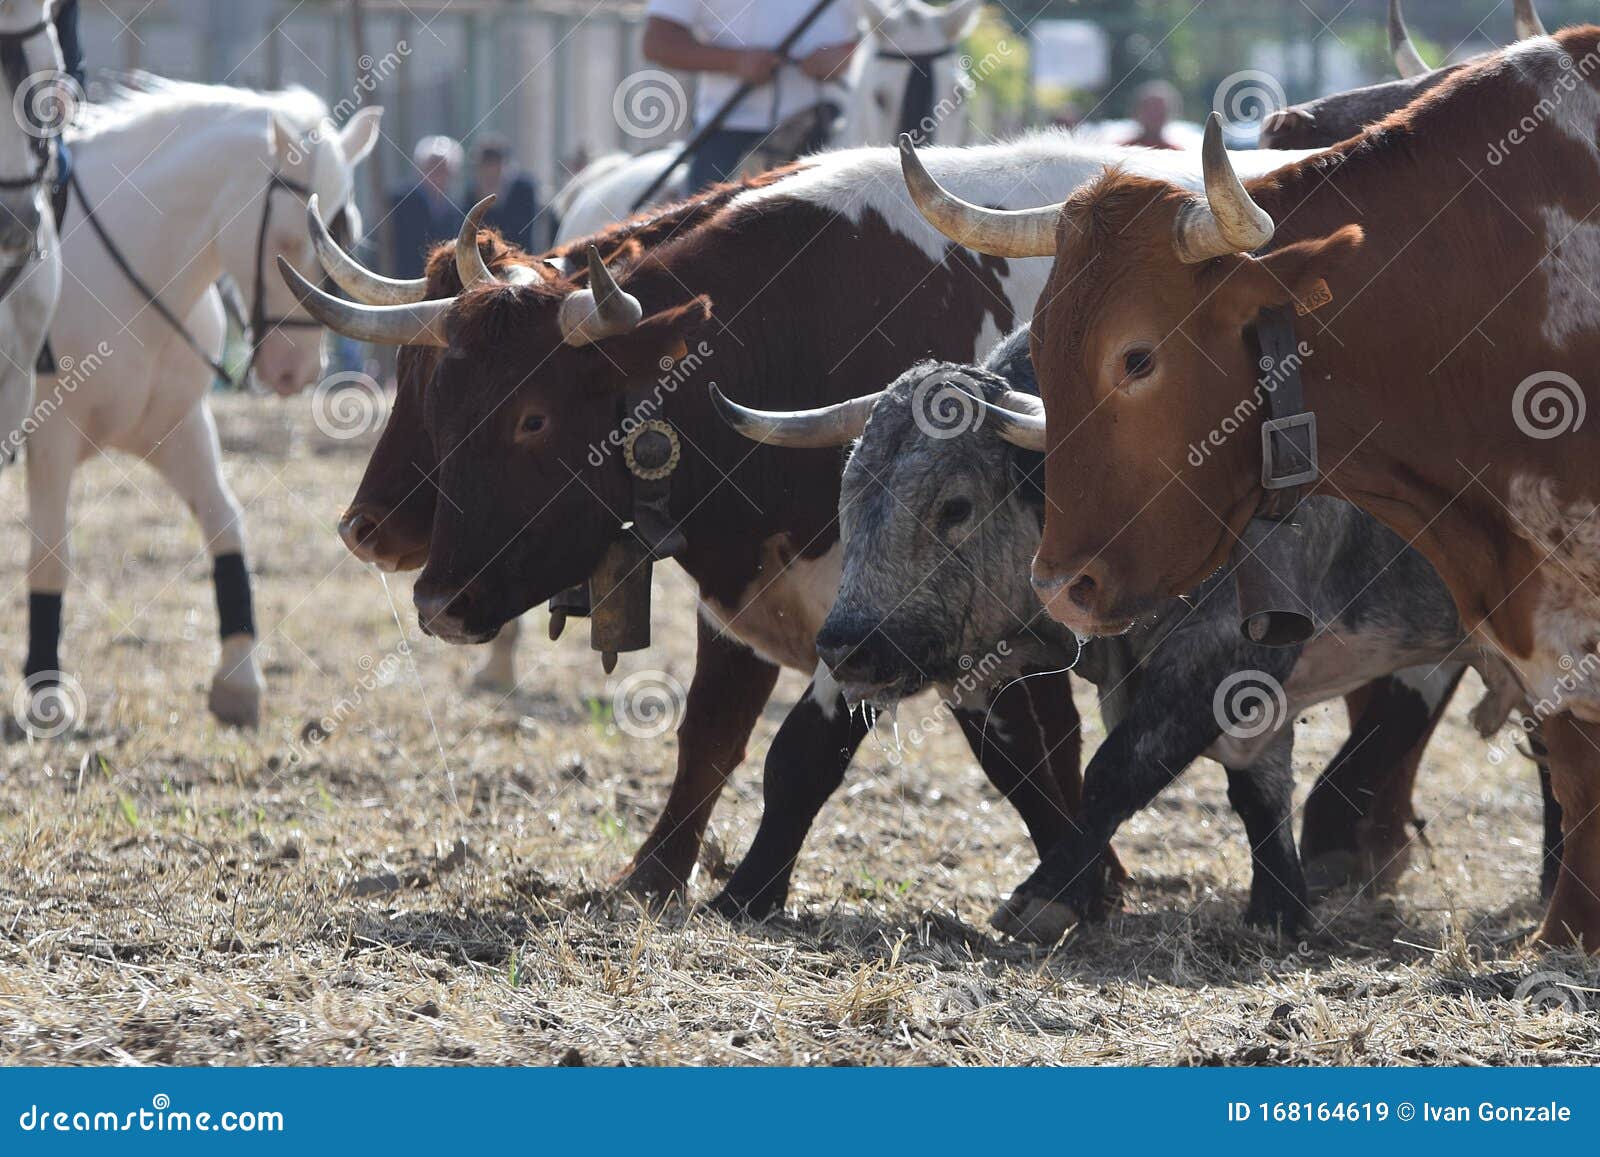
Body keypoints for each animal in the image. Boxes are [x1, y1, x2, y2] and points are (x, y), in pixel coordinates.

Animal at [289, 136, 1340, 913]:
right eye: (434, 392)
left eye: (532, 418)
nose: (433, 594)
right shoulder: (757, 590)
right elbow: (712, 734)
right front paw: (650, 875)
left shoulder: (893, 609)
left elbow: (819, 750)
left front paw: (749, 893)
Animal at [716, 325, 1531, 941]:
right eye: (848, 492)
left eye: (955, 505)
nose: (847, 644)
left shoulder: (1225, 650)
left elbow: (1124, 766)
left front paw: (1048, 897)